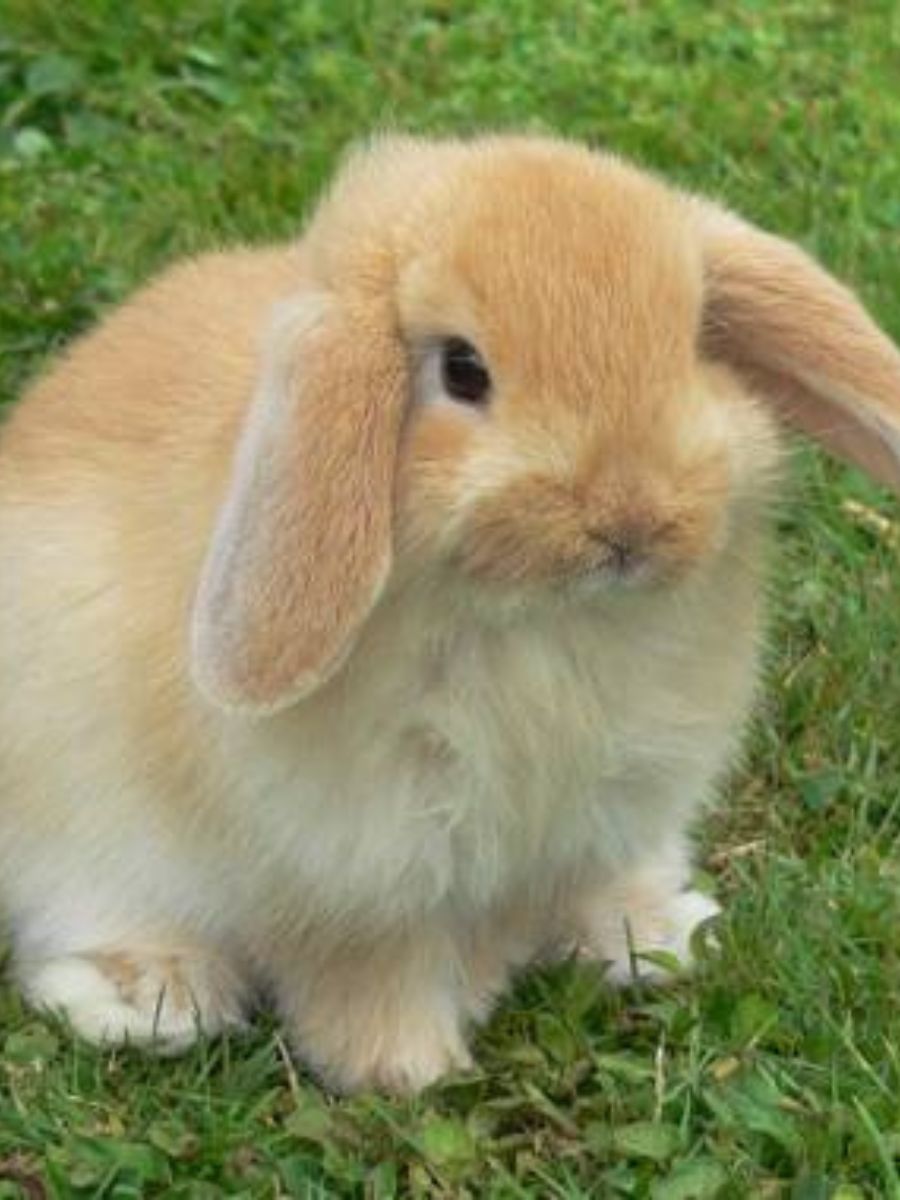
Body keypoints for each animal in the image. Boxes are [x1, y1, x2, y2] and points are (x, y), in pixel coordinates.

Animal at [1, 134, 898, 1095]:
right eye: (463, 370)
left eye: (694, 342)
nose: (629, 521)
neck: (547, 624)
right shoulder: (360, 876)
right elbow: (371, 973)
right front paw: (409, 1070)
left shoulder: (607, 813)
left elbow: (585, 885)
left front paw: (651, 940)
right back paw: (149, 999)